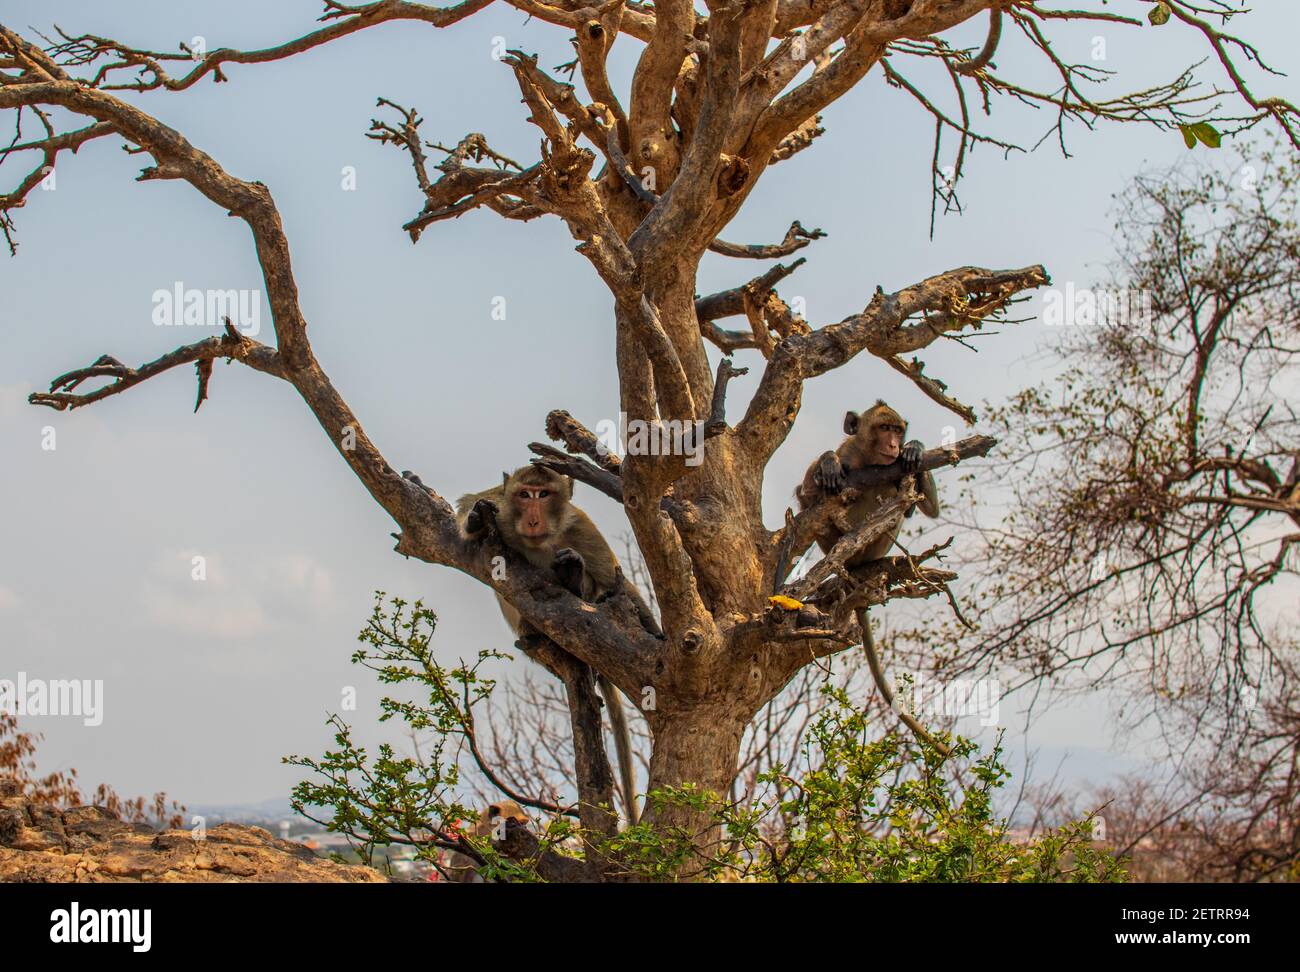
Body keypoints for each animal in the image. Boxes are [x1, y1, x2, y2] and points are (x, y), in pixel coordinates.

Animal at [457, 464, 655, 828]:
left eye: (544, 495)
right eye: (525, 494)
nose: (533, 519)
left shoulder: (583, 530)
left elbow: (619, 584)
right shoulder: (503, 511)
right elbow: (471, 501)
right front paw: (475, 519)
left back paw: (572, 577)